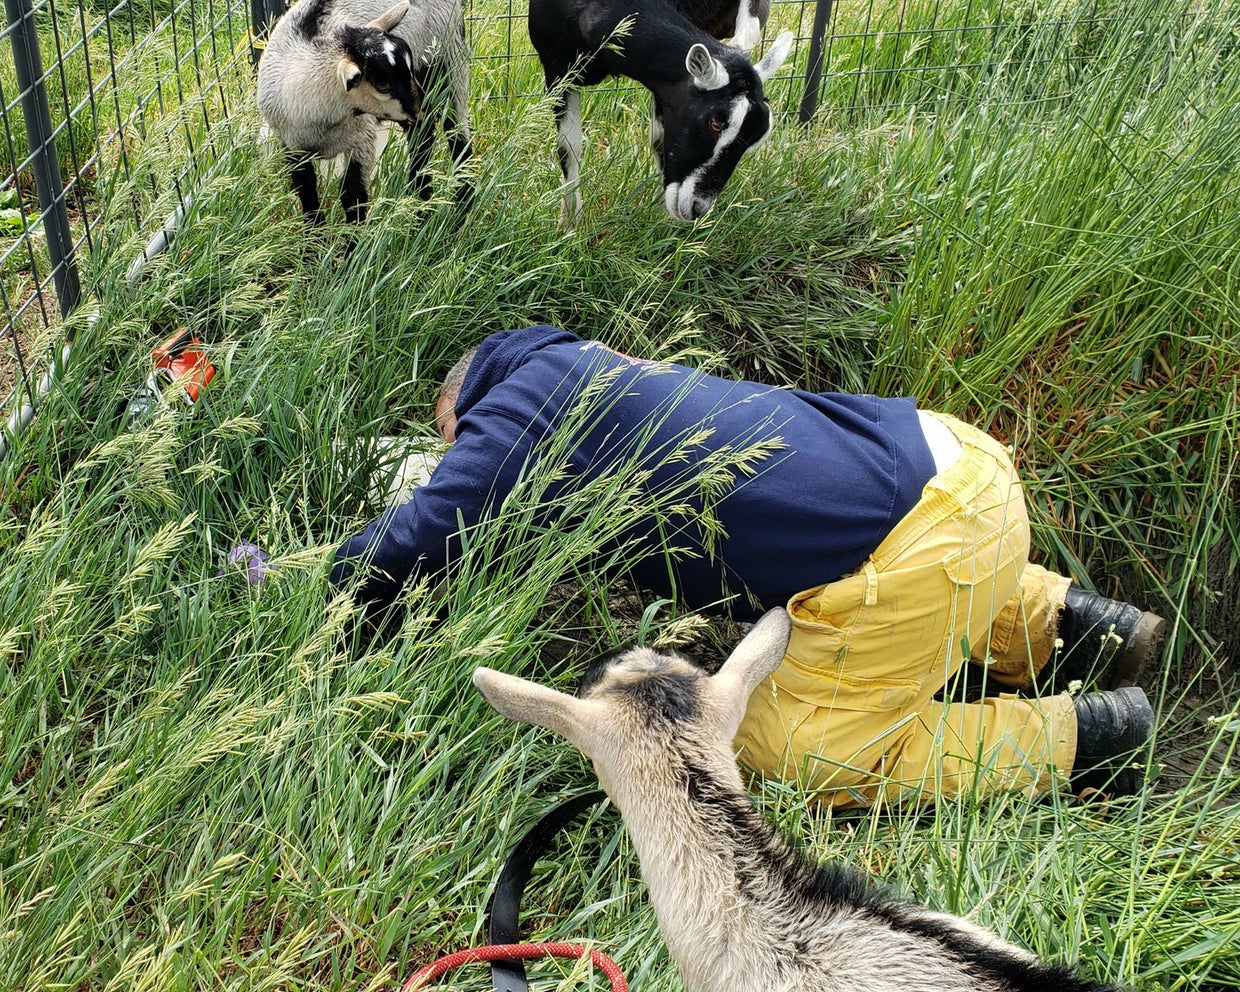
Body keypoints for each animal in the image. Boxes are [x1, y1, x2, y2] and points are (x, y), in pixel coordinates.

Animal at [257, 0, 472, 225]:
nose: (420, 109)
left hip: (451, 62)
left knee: (458, 137)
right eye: (382, 84)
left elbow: (352, 195)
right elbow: (307, 193)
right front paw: (314, 234)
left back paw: (461, 208)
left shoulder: (360, 139)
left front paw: (353, 234)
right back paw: (420, 204)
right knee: (422, 138)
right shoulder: (291, 145)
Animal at [528, 0, 793, 225]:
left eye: (754, 141)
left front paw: (659, 212)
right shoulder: (557, 67)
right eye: (715, 123)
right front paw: (571, 222)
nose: (697, 208)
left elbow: (658, 139)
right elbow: (569, 147)